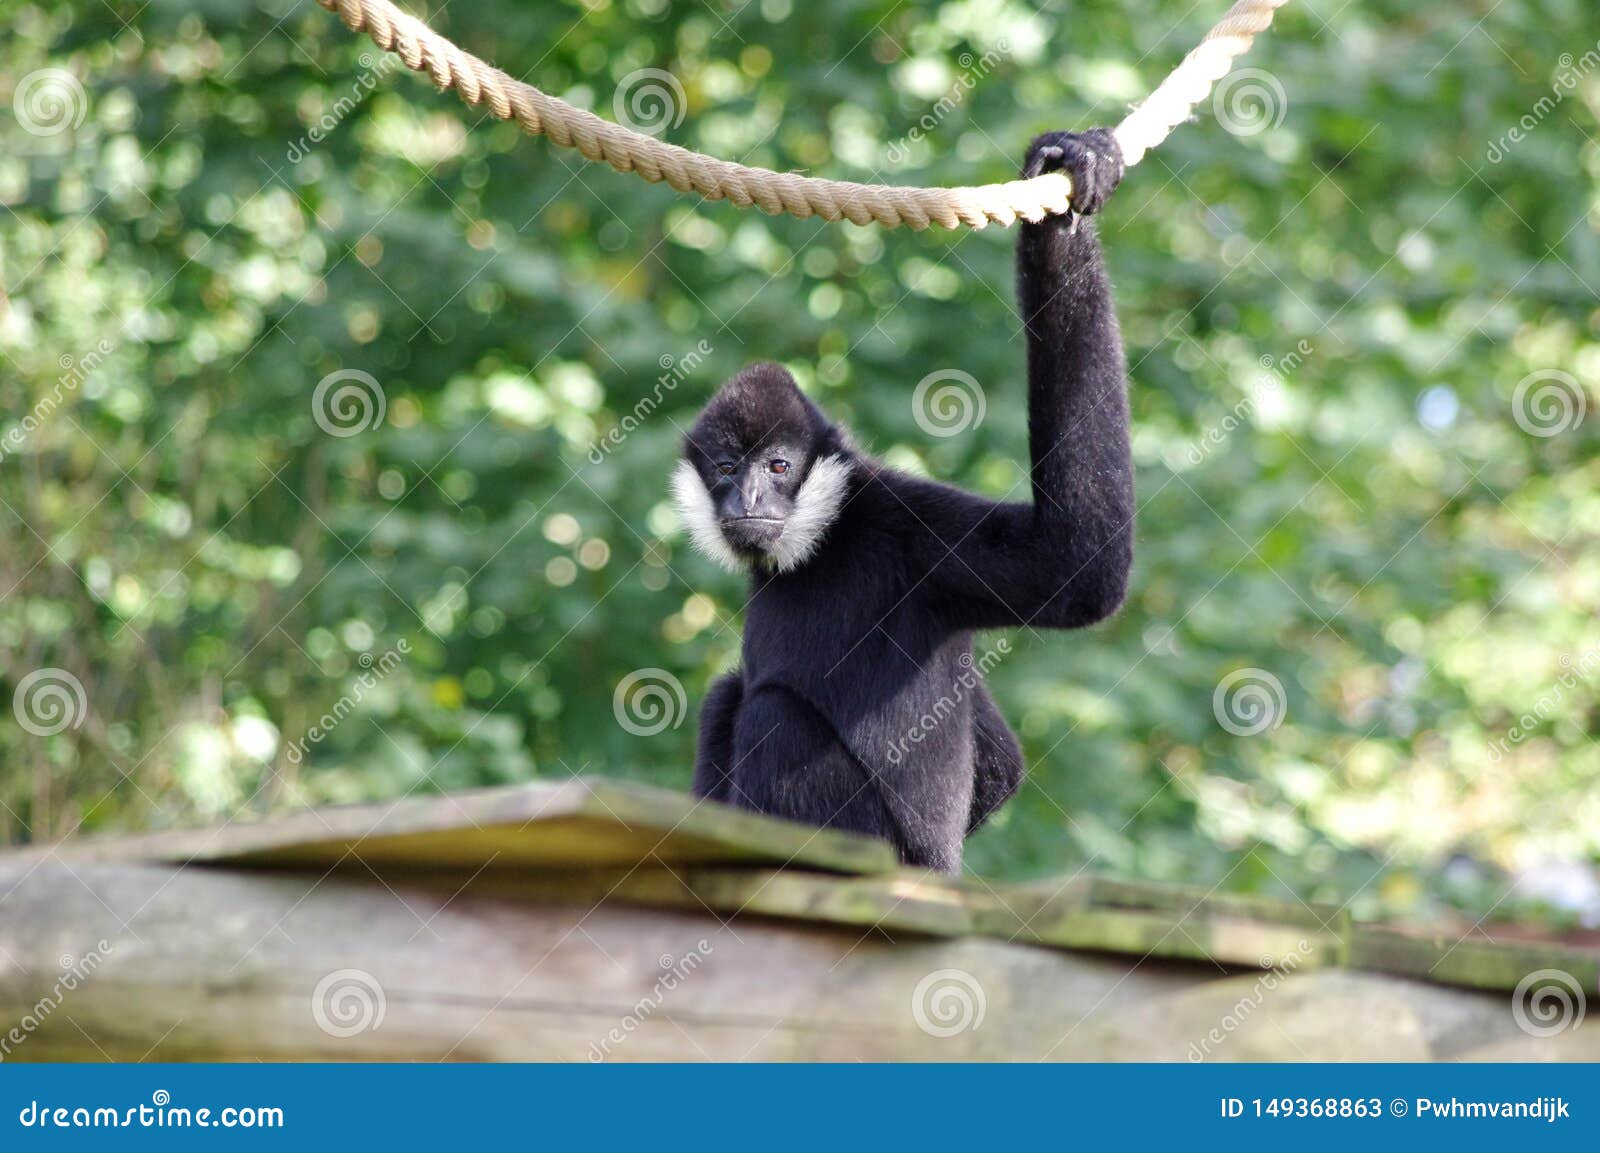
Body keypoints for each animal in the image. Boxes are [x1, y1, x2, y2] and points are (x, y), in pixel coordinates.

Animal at [671, 129, 1133, 872]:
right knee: (728, 695)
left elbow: (1076, 565)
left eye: (779, 466)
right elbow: (1001, 765)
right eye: (726, 467)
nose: (748, 494)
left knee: (772, 713)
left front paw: (1067, 184)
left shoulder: (906, 531)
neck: (829, 538)